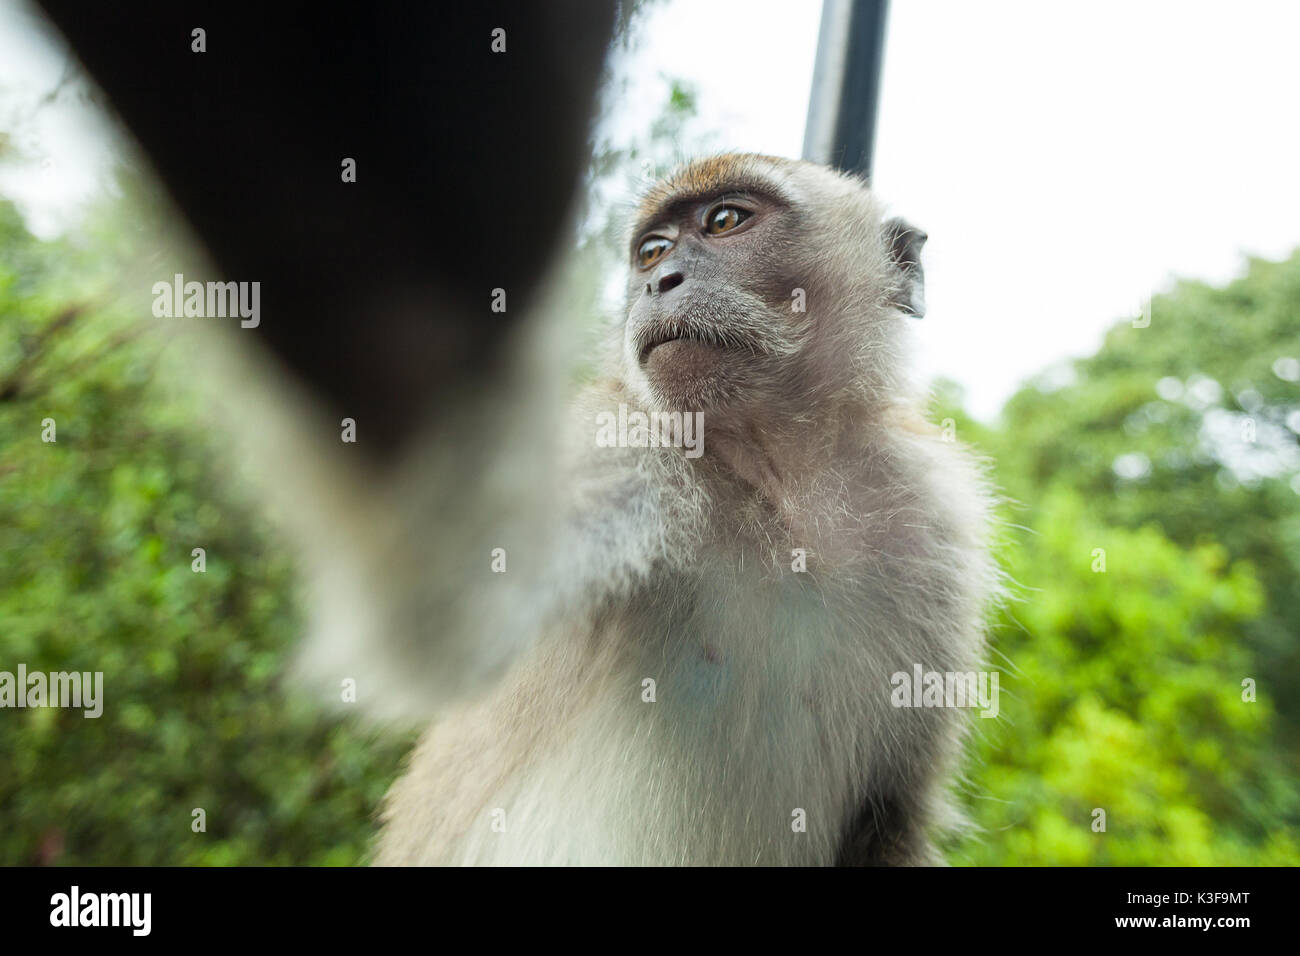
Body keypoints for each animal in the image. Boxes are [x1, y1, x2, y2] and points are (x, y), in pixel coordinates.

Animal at [371, 153, 998, 866]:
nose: (659, 281)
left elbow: (890, 815)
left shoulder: (937, 525)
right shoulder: (614, 444)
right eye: (652, 251)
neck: (779, 481)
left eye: (724, 220)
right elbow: (433, 621)